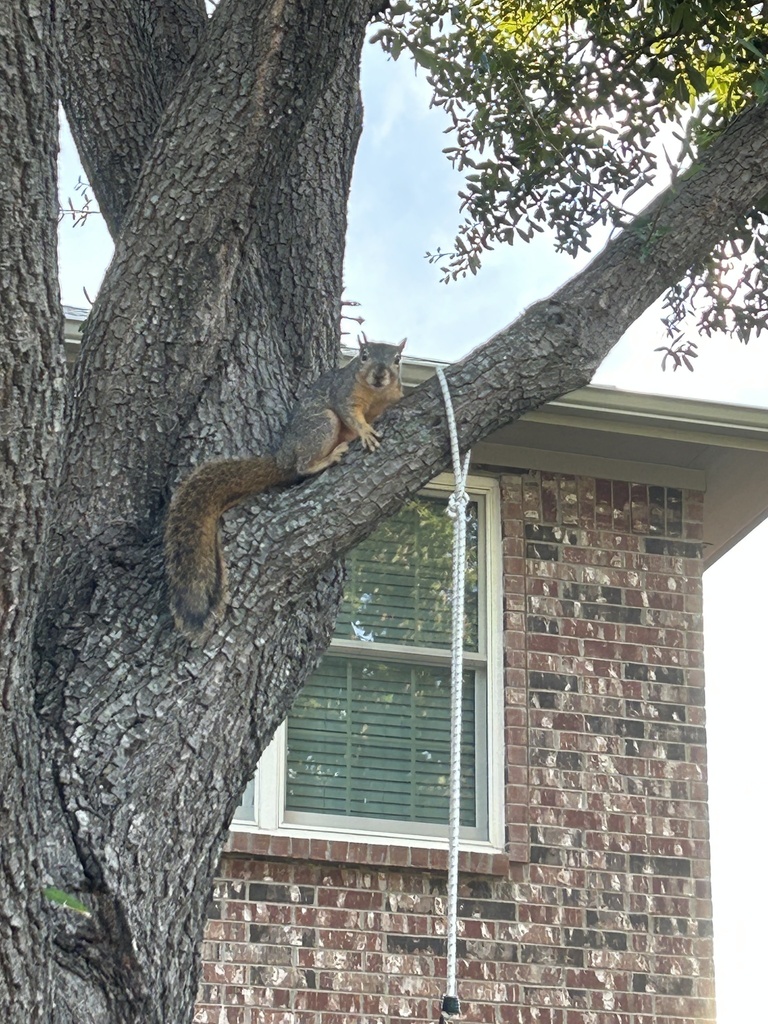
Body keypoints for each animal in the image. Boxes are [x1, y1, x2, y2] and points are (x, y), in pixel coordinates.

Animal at [164, 336, 406, 634]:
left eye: (397, 360)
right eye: (363, 355)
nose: (380, 374)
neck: (375, 393)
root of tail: (284, 457)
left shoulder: (392, 396)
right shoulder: (343, 394)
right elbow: (351, 415)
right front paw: (364, 432)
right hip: (321, 425)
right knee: (302, 465)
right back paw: (326, 459)